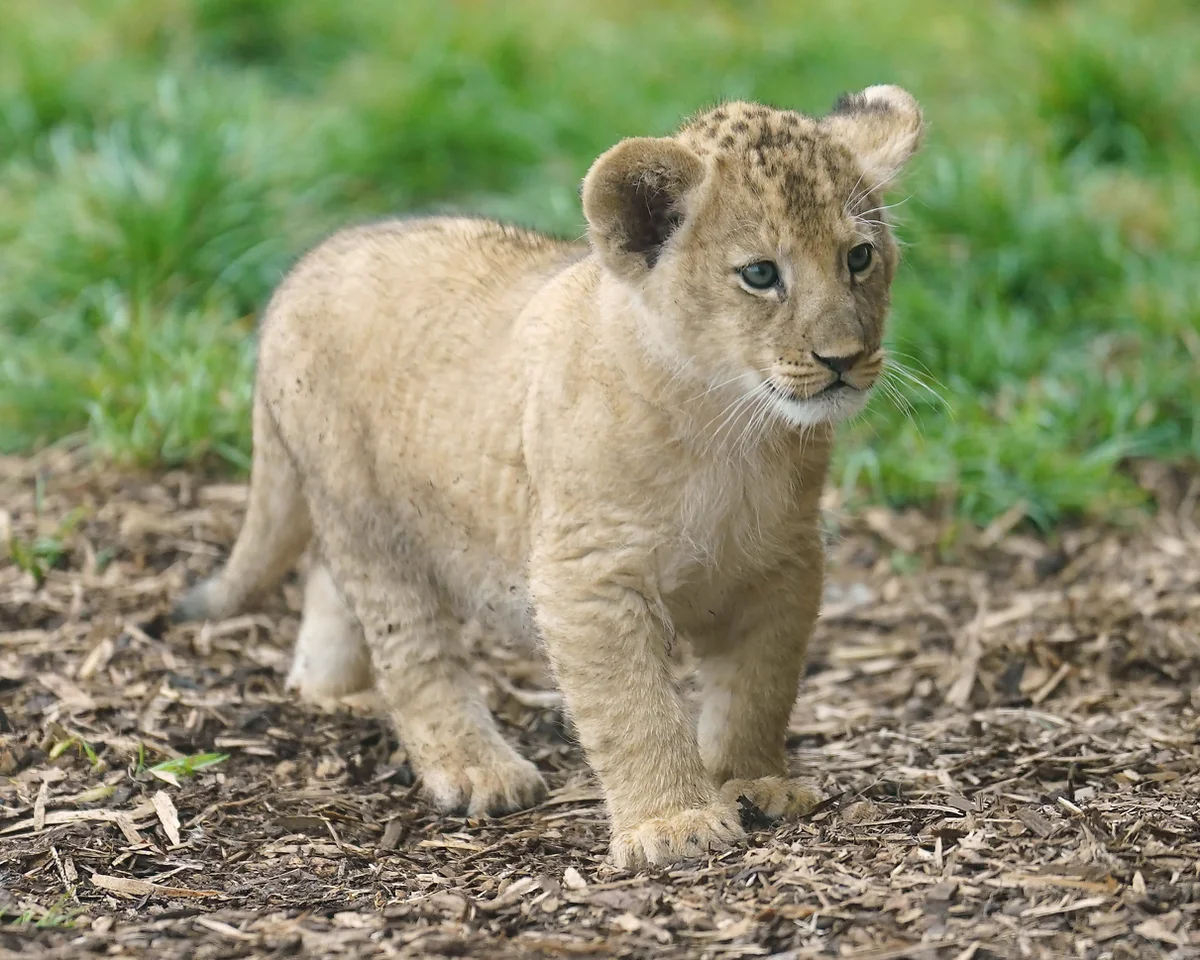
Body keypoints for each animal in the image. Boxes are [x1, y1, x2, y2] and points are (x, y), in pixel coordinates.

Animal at [175, 86, 924, 869]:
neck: (731, 429)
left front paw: (754, 782)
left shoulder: (784, 566)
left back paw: (330, 691)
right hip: (367, 513)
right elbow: (634, 709)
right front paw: (674, 824)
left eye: (859, 257)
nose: (844, 358)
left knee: (325, 578)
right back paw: (476, 768)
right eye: (759, 274)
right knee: (411, 648)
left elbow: (759, 688)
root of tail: (303, 268)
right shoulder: (588, 576)